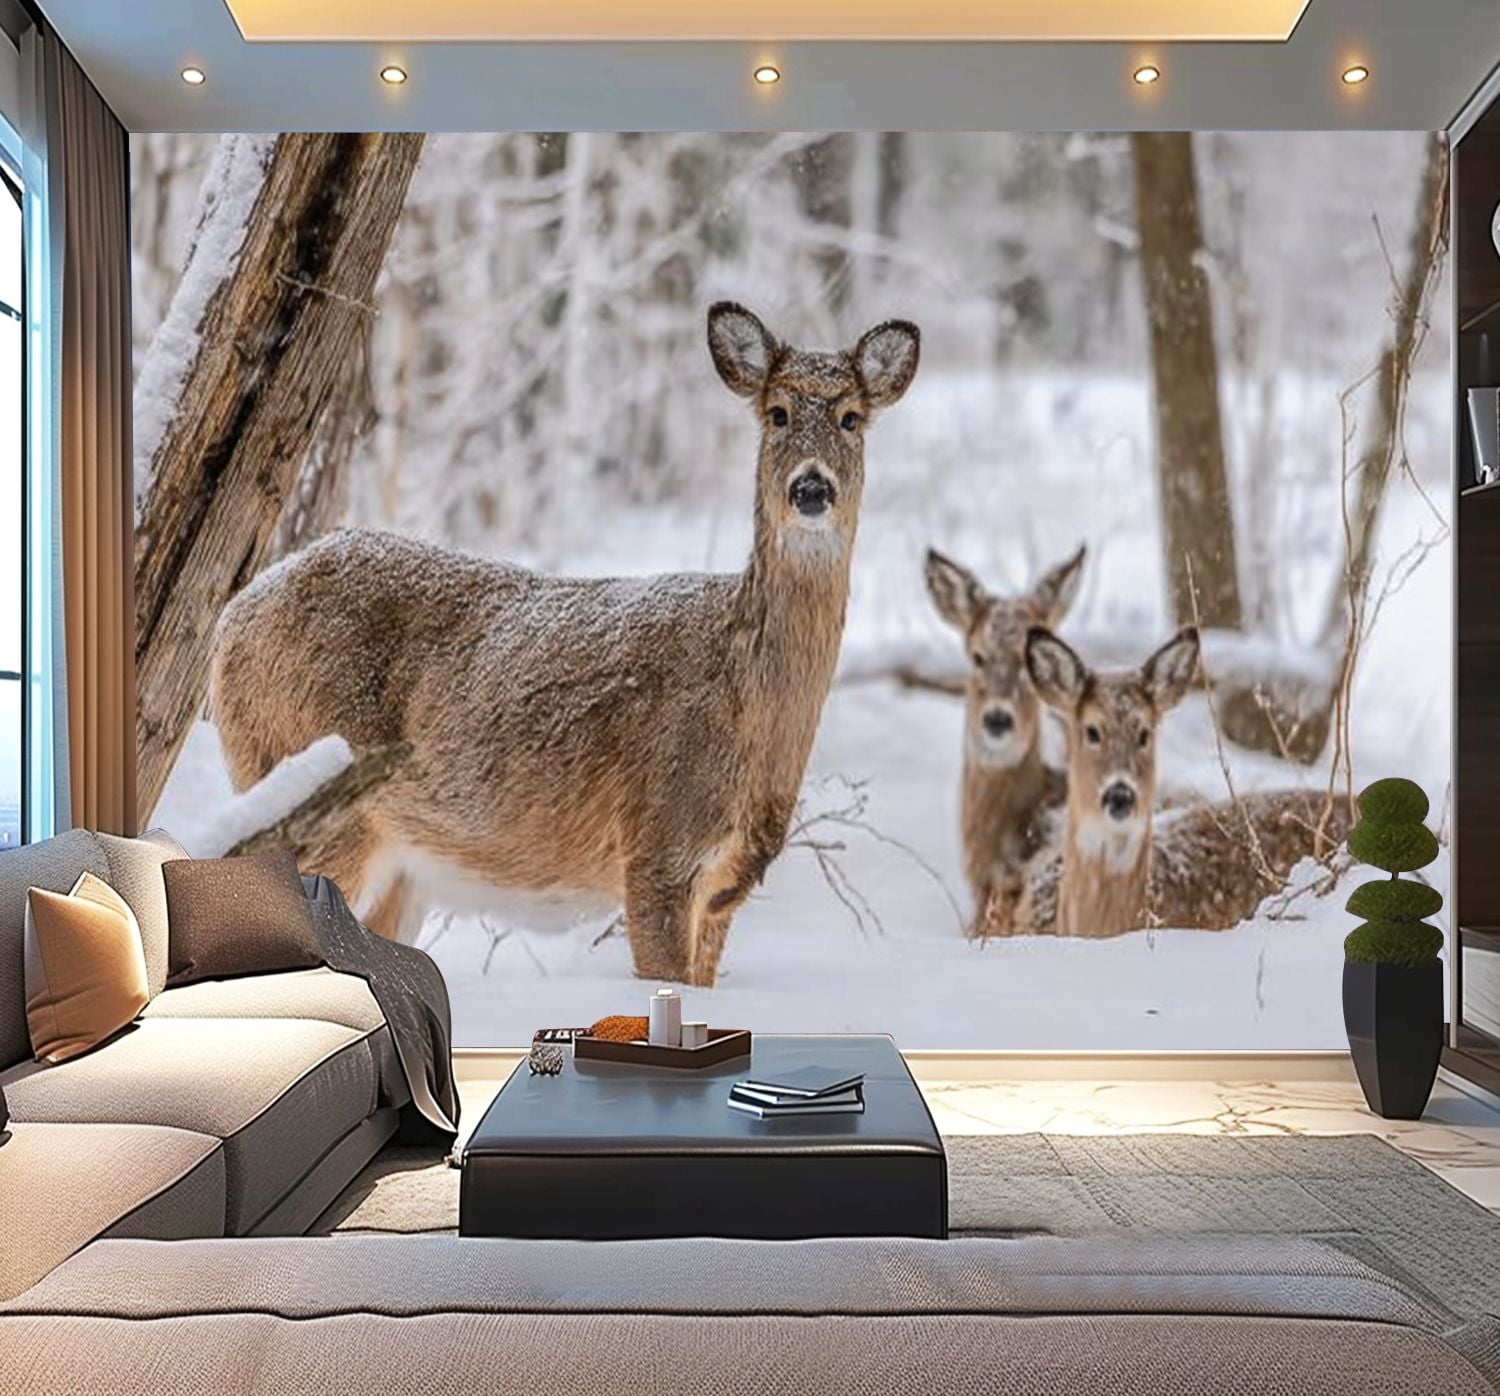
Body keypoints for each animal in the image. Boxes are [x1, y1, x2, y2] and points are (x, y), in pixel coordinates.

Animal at [210, 303, 921, 988]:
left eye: (852, 419)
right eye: (776, 413)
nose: (811, 488)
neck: (750, 713)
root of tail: (232, 618)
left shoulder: (726, 887)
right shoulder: (658, 847)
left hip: (394, 861)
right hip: (311, 786)